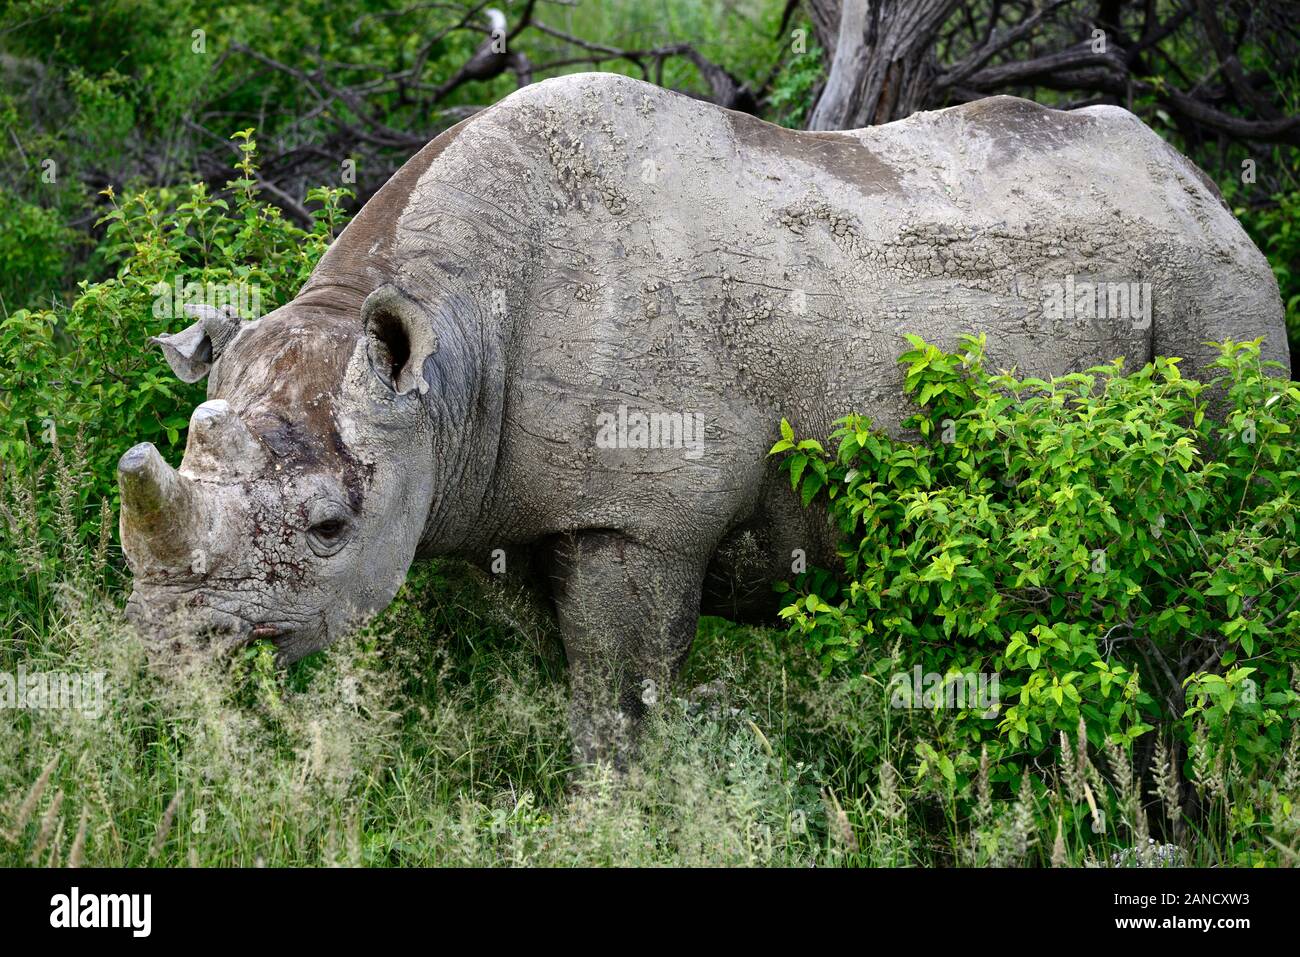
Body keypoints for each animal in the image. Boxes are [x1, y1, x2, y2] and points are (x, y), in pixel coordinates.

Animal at [119, 72, 1289, 764]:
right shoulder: (506, 499)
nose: (175, 649)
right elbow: (571, 680)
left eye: (329, 528)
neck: (446, 354)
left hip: (1217, 295)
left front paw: (617, 811)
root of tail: (1197, 181)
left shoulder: (640, 520)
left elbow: (616, 696)